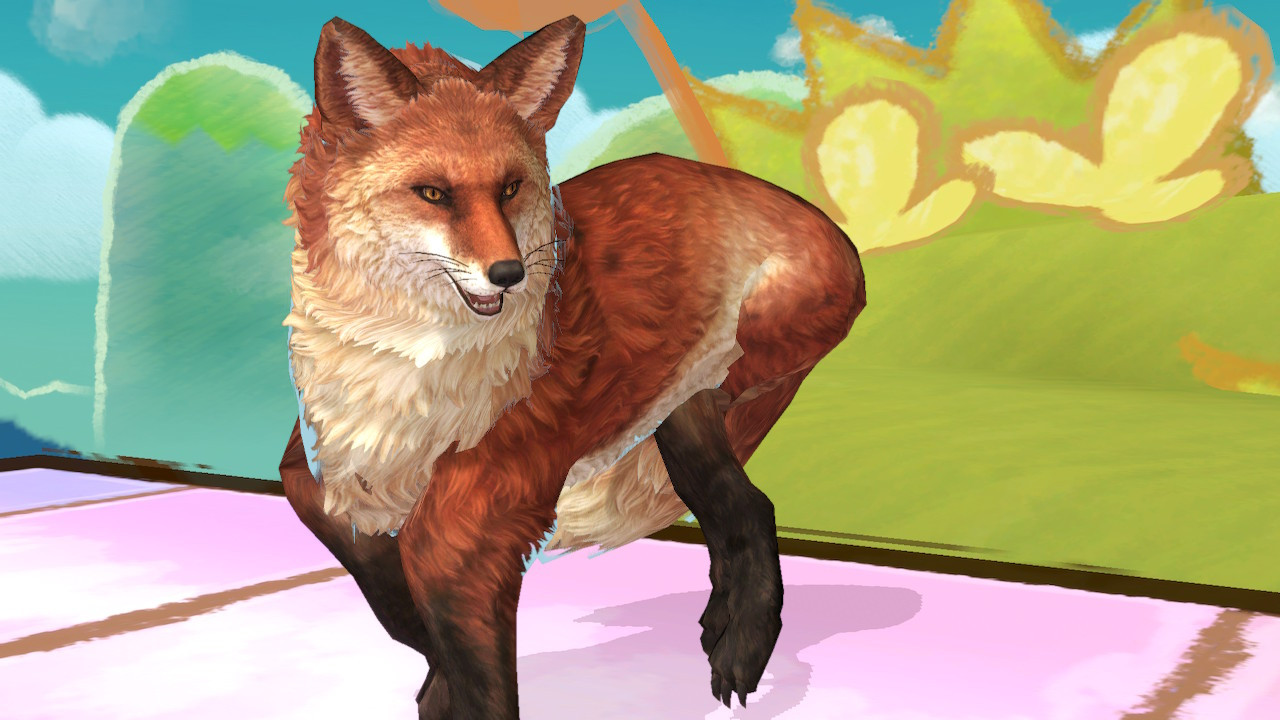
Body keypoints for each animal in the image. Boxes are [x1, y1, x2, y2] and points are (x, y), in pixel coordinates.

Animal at [279, 14, 866, 720]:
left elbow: (472, 665)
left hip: (710, 391)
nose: (509, 272)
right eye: (433, 194)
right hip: (680, 421)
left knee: (750, 508)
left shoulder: (473, 523)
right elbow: (388, 589)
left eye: (510, 188)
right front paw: (433, 681)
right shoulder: (322, 472)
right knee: (743, 510)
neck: (403, 368)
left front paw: (446, 688)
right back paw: (725, 632)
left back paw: (742, 649)